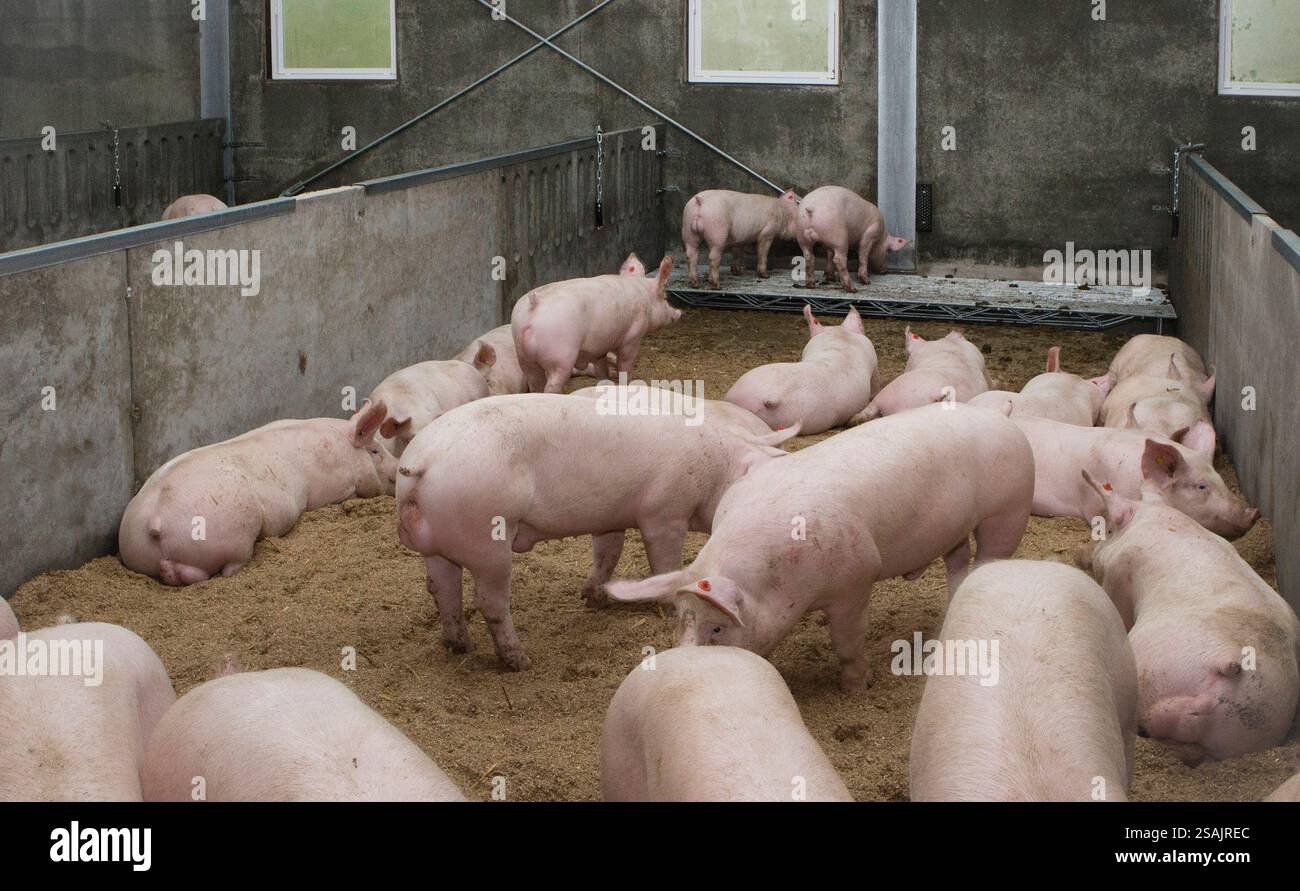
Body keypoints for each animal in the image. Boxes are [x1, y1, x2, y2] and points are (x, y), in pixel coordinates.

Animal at [119, 401, 397, 585]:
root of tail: (154, 518)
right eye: (375, 451)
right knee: (225, 568)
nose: (398, 468)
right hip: (234, 533)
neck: (343, 447)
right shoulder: (335, 487)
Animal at [396, 393, 798, 670]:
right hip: (488, 539)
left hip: (439, 545)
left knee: (442, 588)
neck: (714, 468)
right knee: (490, 601)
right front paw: (668, 605)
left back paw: (458, 645)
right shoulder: (664, 513)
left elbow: (608, 552)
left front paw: (593, 597)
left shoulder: (612, 517)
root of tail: (423, 461)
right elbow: (664, 561)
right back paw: (520, 661)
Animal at [512, 255, 681, 393]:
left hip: (524, 358)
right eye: (665, 296)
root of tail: (534, 304)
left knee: (535, 383)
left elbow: (601, 369)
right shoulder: (633, 337)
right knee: (552, 385)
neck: (645, 296)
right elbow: (625, 364)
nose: (679, 313)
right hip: (560, 357)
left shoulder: (599, 348)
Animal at [607, 404, 1034, 692]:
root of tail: (998, 414)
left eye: (717, 627)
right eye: (682, 618)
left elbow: (846, 641)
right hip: (958, 528)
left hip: (1009, 509)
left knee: (990, 556)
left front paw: (856, 688)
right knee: (957, 561)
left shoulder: (855, 579)